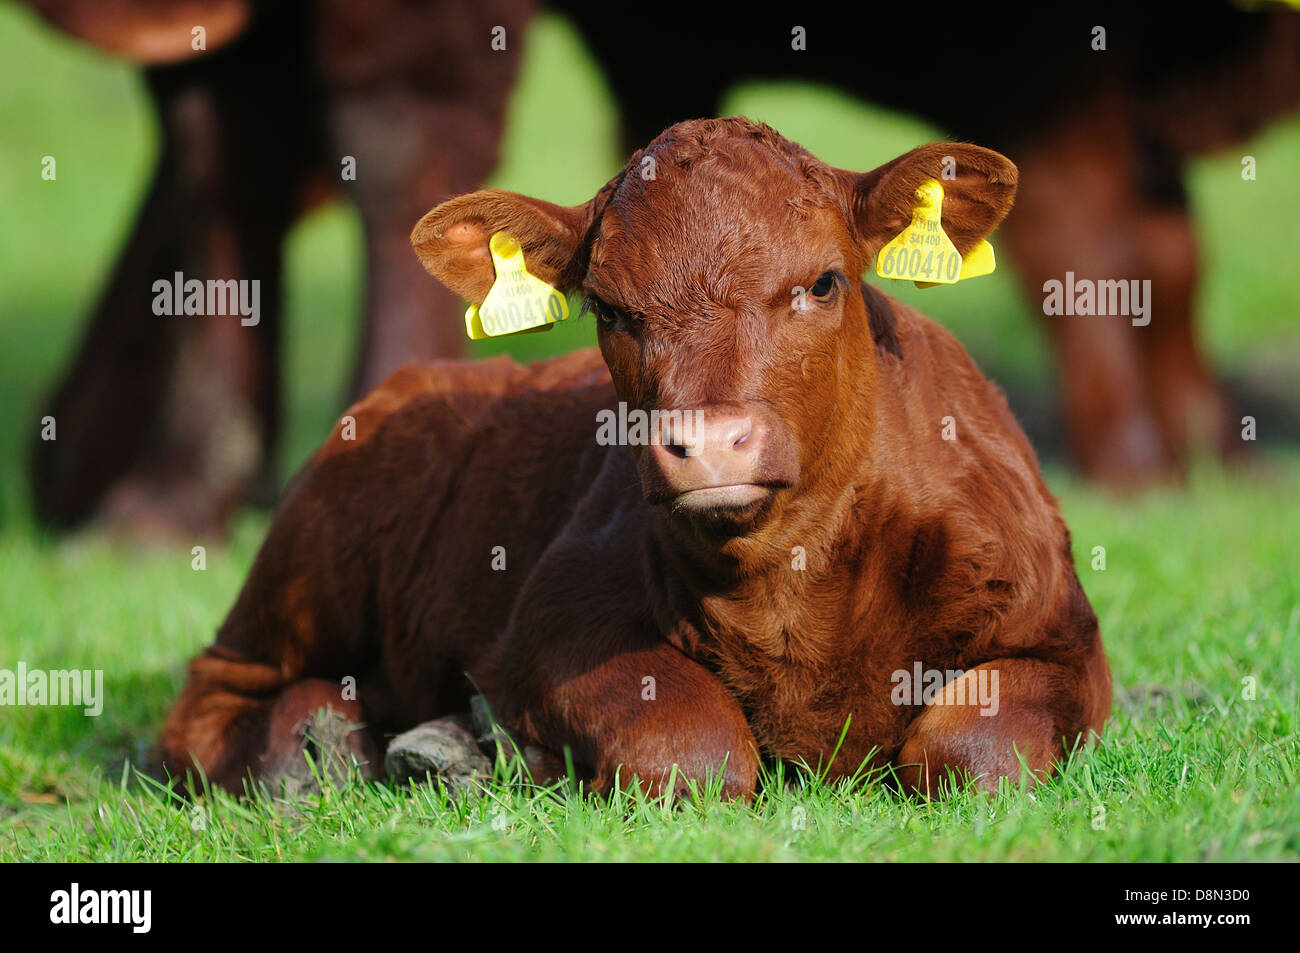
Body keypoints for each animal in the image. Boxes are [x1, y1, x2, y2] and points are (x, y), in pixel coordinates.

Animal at [158, 118, 1111, 799]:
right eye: (612, 309)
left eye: (823, 282)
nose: (710, 441)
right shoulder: (554, 619)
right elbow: (694, 744)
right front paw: (525, 756)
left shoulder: (1064, 642)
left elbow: (971, 743)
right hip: (311, 564)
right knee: (209, 699)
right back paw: (324, 746)